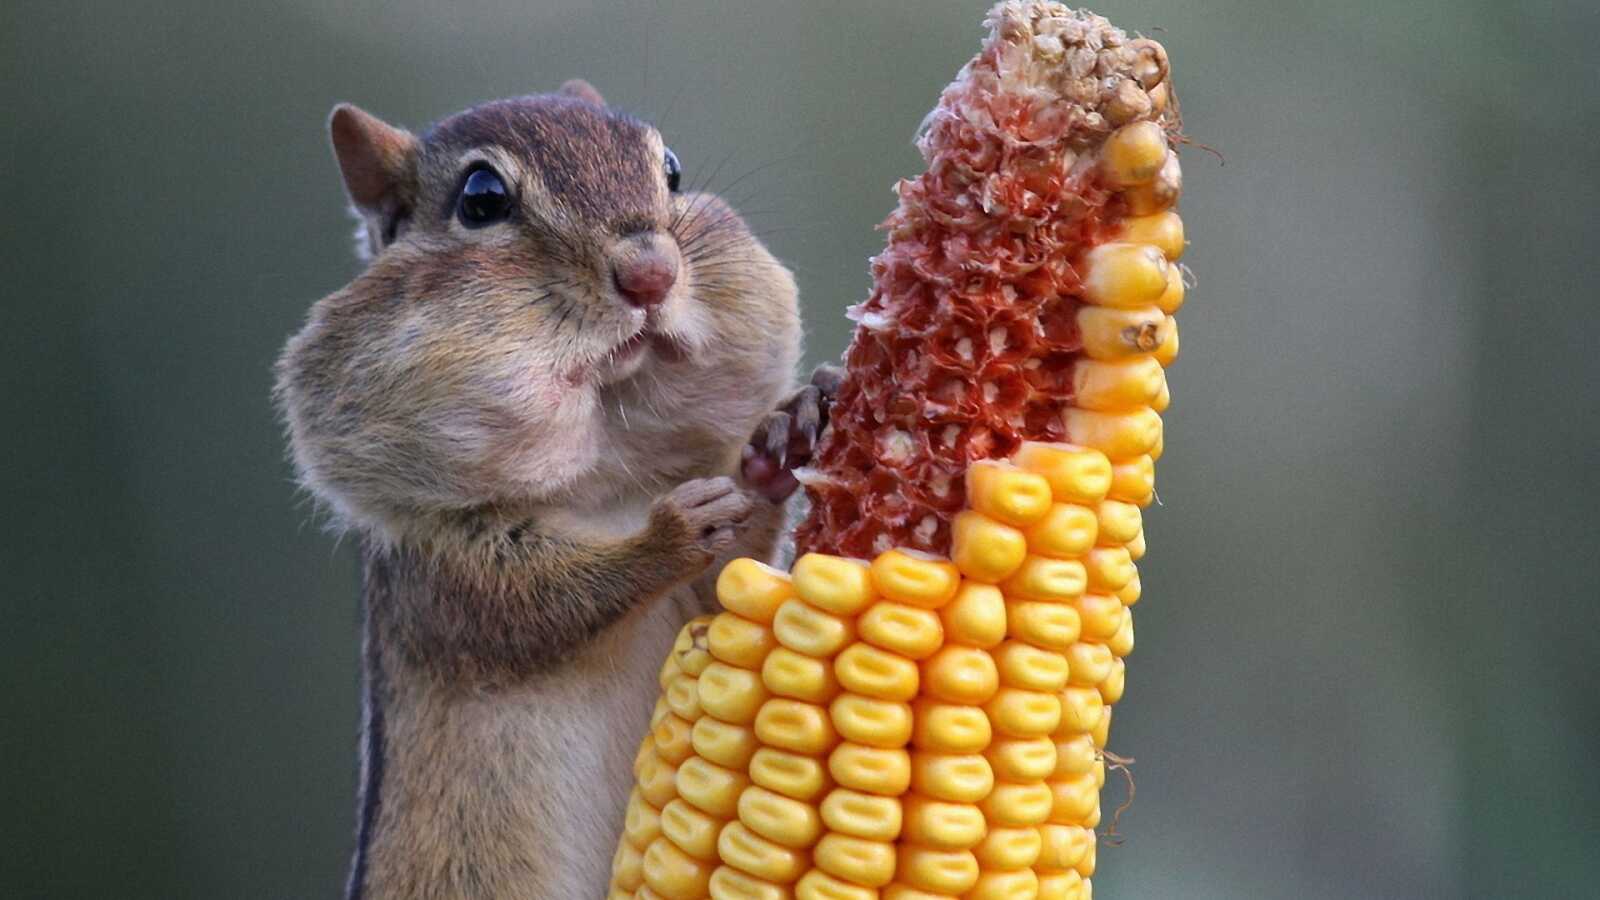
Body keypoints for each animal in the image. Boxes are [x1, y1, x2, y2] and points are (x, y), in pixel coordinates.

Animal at [275, 79, 839, 899]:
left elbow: (731, 590)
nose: (651, 272)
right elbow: (538, 604)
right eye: (481, 199)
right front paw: (670, 534)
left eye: (671, 169)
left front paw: (784, 437)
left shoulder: (698, 607)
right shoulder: (439, 574)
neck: (606, 483)